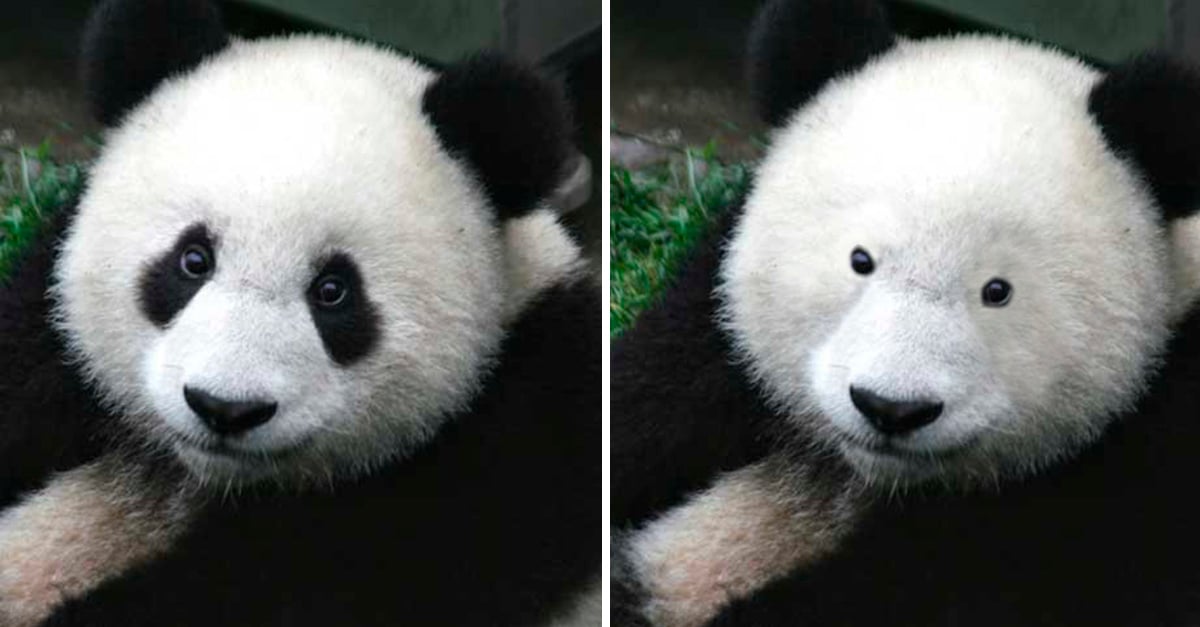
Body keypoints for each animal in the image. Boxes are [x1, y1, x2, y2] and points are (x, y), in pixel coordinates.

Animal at [0, 1, 599, 625]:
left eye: (333, 291)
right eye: (193, 259)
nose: (225, 409)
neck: (207, 478)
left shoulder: (511, 447)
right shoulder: (50, 340)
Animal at [612, 0, 1200, 625]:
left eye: (998, 290)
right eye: (861, 260)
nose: (891, 409)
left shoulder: (1149, 463)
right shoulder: (717, 330)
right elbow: (653, 390)